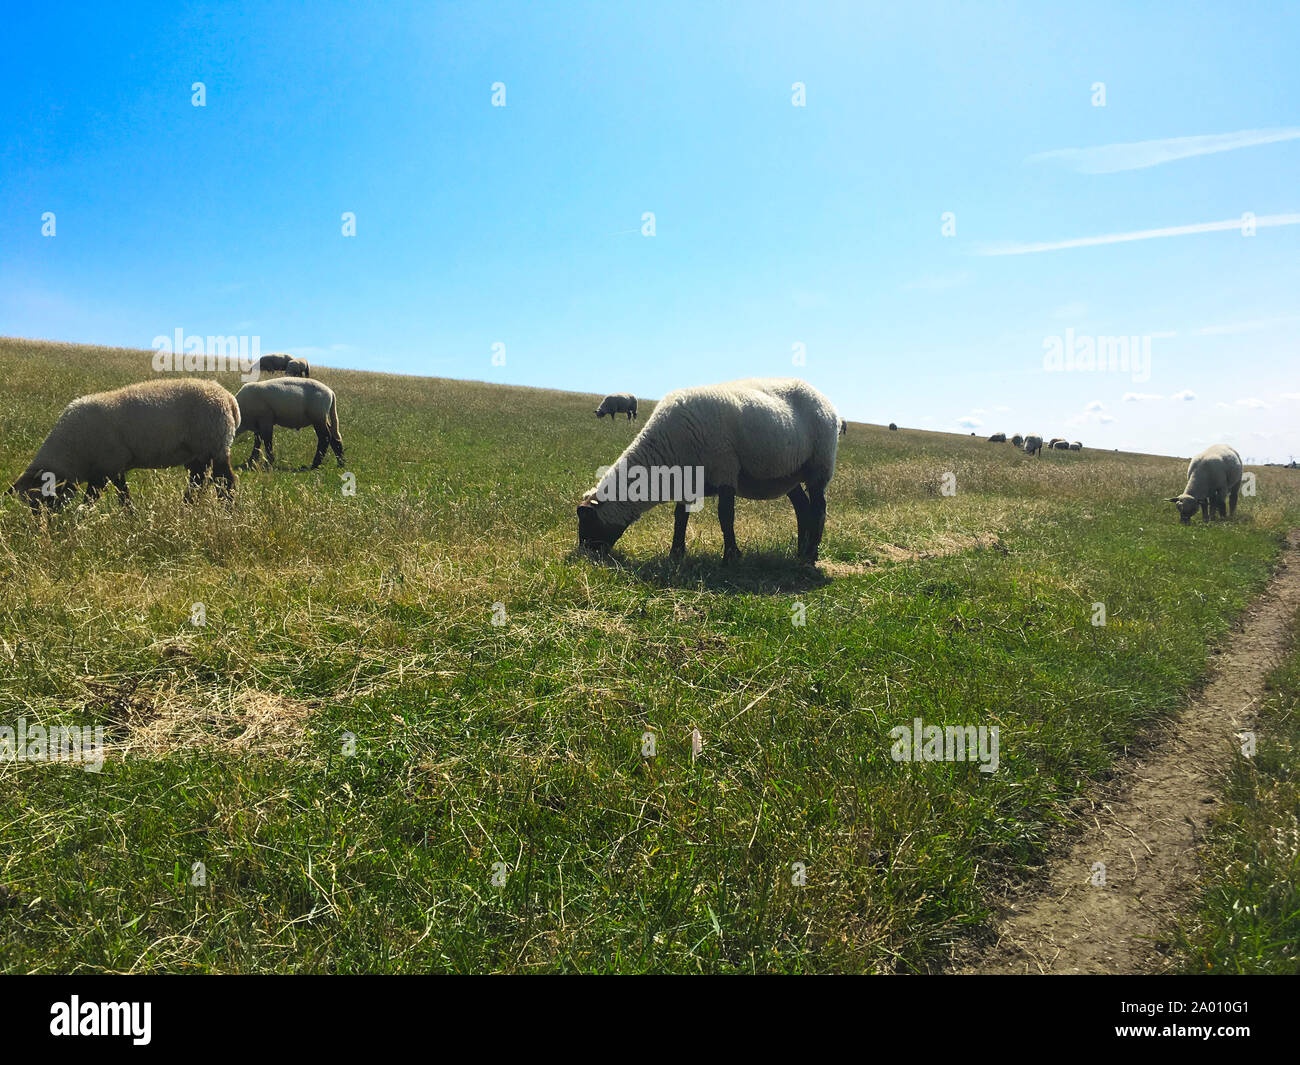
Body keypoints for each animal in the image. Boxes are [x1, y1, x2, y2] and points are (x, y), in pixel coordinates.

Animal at [7, 379, 238, 509]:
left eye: (44, 500)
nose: (45, 530)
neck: (72, 452)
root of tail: (227, 397)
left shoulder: (105, 467)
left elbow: (91, 499)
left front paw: (80, 522)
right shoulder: (114, 467)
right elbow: (123, 495)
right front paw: (131, 516)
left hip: (214, 444)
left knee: (225, 481)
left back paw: (228, 511)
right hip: (198, 452)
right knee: (198, 480)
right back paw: (187, 508)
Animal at [577, 378, 838, 564]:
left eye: (587, 521)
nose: (584, 556)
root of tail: (822, 397)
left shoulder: (725, 469)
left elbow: (725, 516)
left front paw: (731, 555)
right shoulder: (686, 480)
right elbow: (680, 517)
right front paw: (676, 553)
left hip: (820, 463)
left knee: (819, 508)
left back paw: (811, 554)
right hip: (788, 475)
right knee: (802, 508)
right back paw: (800, 552)